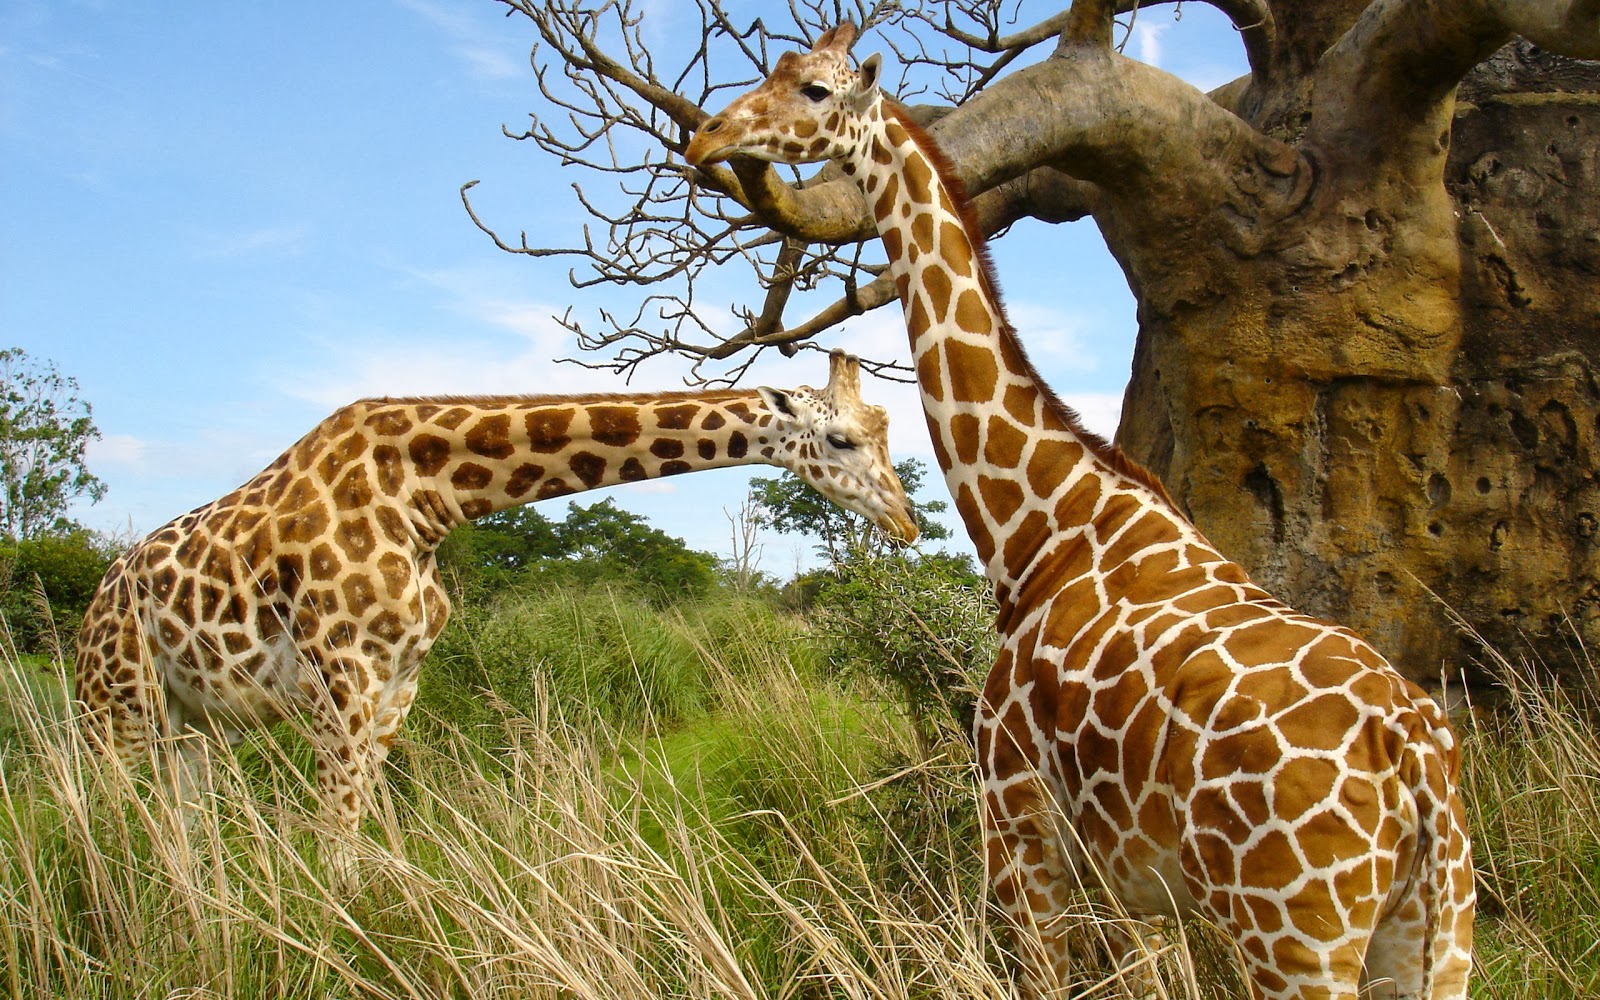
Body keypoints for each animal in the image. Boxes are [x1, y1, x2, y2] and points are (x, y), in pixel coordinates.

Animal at [74, 350, 917, 864]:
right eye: (843, 440)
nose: (908, 522)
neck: (424, 499)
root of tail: (95, 603)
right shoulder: (342, 676)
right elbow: (336, 836)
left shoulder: (398, 684)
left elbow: (361, 828)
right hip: (114, 711)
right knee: (109, 824)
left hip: (193, 723)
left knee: (182, 831)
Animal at [687, 26, 1473, 1000]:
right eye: (778, 69)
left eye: (816, 90)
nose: (708, 135)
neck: (1041, 527)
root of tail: (1419, 764)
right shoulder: (1132, 877)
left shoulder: (1018, 820)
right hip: (1434, 930)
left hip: (1297, 935)